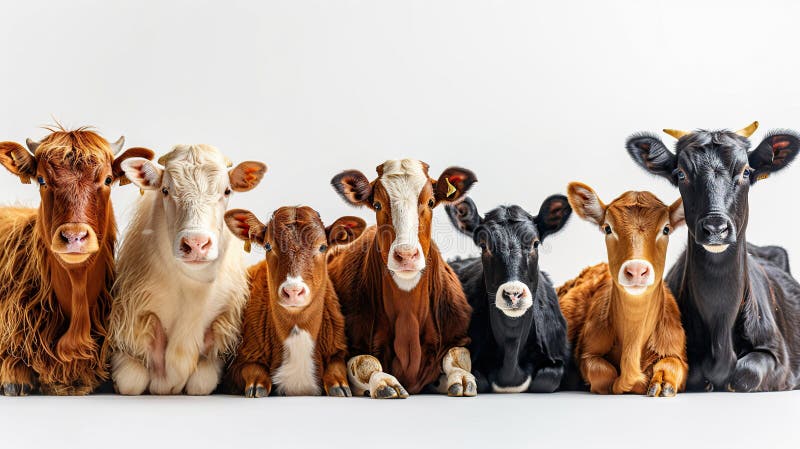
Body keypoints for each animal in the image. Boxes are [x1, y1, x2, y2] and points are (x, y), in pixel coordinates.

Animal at [223, 206, 366, 397]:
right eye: (268, 246)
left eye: (322, 247)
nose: (293, 290)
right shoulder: (240, 360)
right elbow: (253, 370)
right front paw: (257, 385)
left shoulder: (338, 347)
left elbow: (338, 367)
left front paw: (339, 384)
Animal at [328, 159, 477, 398]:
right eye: (377, 205)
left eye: (431, 202)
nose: (406, 255)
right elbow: (365, 363)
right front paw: (384, 383)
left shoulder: (457, 335)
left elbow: (458, 357)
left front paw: (462, 378)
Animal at [558, 183, 688, 397]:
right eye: (607, 228)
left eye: (666, 229)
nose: (636, 270)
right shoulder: (587, 352)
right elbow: (604, 373)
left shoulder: (678, 353)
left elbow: (671, 364)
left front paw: (660, 382)